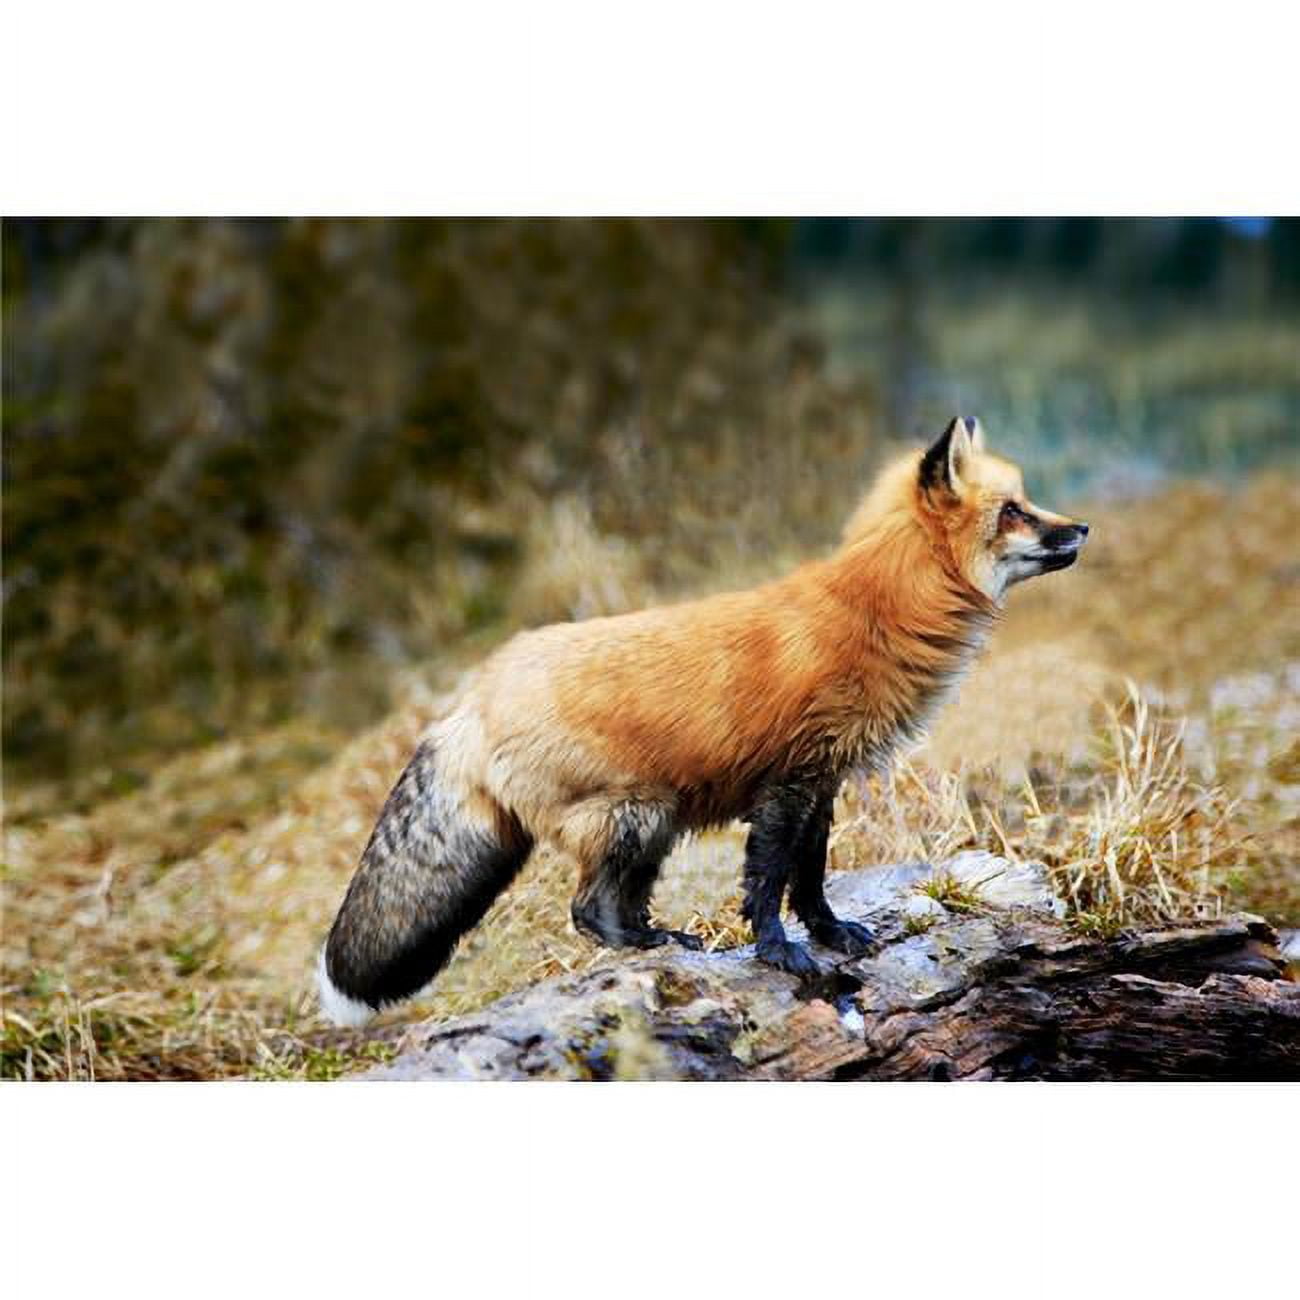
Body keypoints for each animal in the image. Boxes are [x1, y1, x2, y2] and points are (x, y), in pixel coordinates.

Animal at [317, 416, 1089, 1026]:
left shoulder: (823, 783)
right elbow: (767, 883)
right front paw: (779, 953)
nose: (1082, 527)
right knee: (585, 910)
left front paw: (830, 934)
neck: (876, 608)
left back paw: (662, 939)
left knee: (611, 903)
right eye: (1014, 510)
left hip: (653, 828)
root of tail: (473, 696)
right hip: (637, 814)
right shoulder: (787, 785)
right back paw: (647, 947)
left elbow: (810, 879)